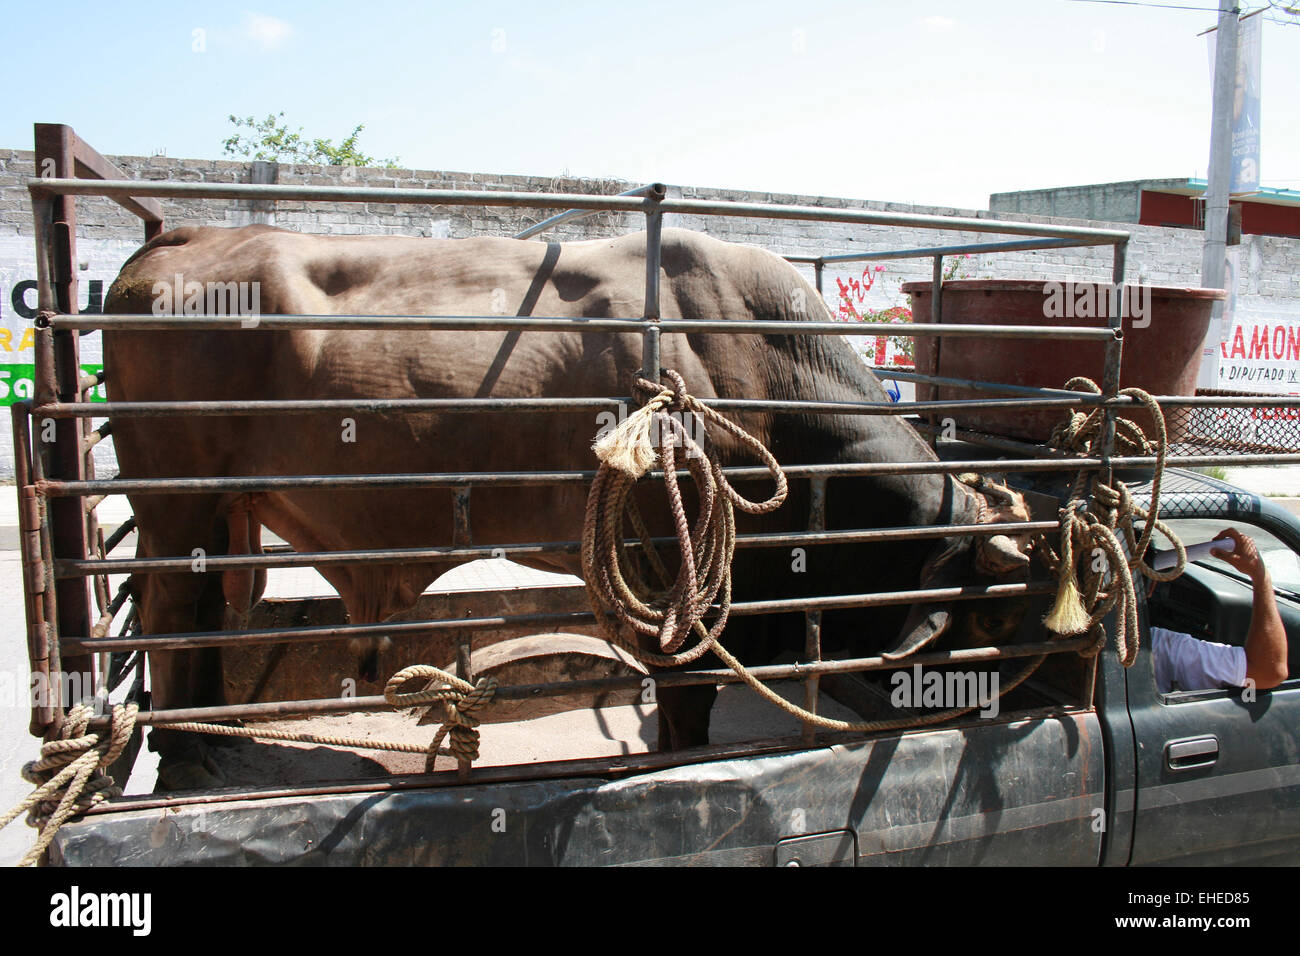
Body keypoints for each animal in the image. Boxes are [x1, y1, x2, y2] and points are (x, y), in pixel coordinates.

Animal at [102, 225, 1035, 789]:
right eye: (994, 615)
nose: (1012, 716)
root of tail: (185, 235)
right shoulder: (675, 575)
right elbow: (686, 699)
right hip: (175, 507)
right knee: (171, 614)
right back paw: (183, 758)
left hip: (220, 516)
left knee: (207, 614)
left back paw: (204, 743)